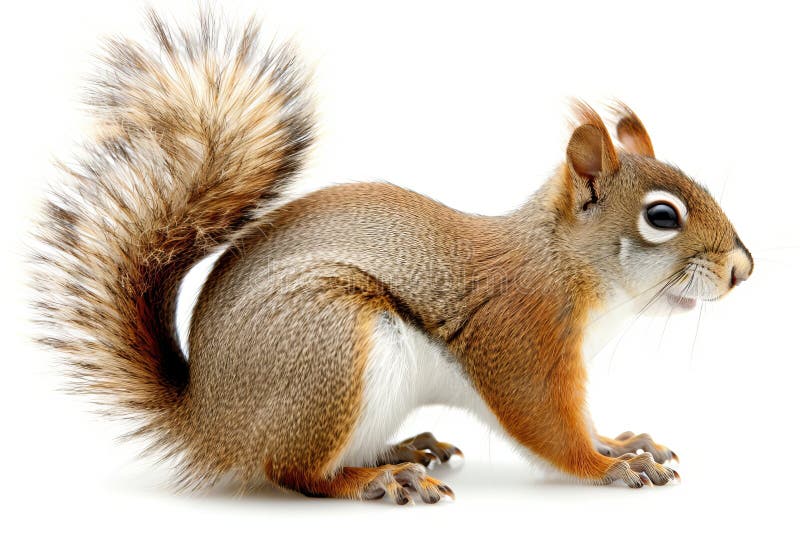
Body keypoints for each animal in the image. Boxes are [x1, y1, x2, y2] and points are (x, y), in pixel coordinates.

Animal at [32, 12, 753, 504]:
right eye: (662, 217)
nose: (743, 269)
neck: (569, 266)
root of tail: (209, 422)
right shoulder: (520, 336)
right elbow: (550, 428)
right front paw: (610, 467)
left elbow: (585, 420)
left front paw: (622, 441)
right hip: (328, 348)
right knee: (293, 472)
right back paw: (380, 479)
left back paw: (409, 446)